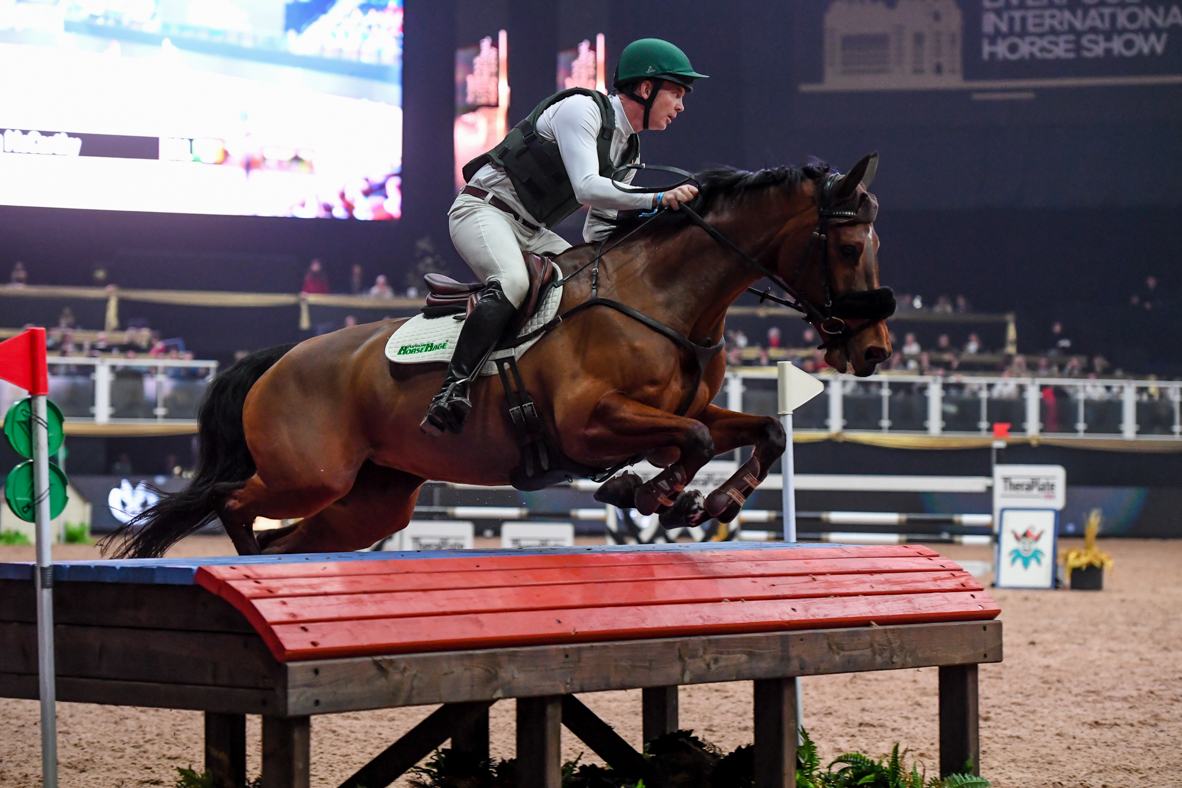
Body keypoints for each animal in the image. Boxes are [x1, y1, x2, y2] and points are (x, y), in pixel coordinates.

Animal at [109, 154, 893, 558]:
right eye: (851, 244)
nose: (875, 351)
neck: (668, 299)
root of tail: (277, 359)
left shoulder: (679, 411)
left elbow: (760, 431)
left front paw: (714, 499)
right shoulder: (588, 422)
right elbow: (693, 440)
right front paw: (650, 494)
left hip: (370, 502)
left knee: (293, 535)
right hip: (308, 475)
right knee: (233, 502)